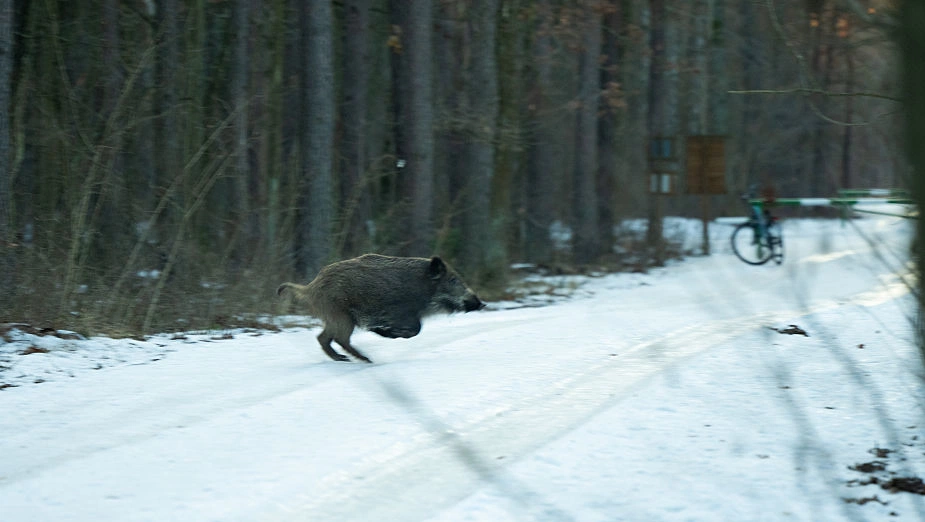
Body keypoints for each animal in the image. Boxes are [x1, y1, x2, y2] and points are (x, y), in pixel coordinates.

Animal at [277, 254, 485, 363]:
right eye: (453, 280)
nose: (481, 303)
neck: (423, 291)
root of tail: (310, 287)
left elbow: (416, 330)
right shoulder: (401, 313)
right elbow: (416, 330)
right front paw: (380, 331)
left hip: (335, 318)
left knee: (323, 338)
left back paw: (345, 359)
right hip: (342, 316)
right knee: (338, 339)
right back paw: (364, 359)